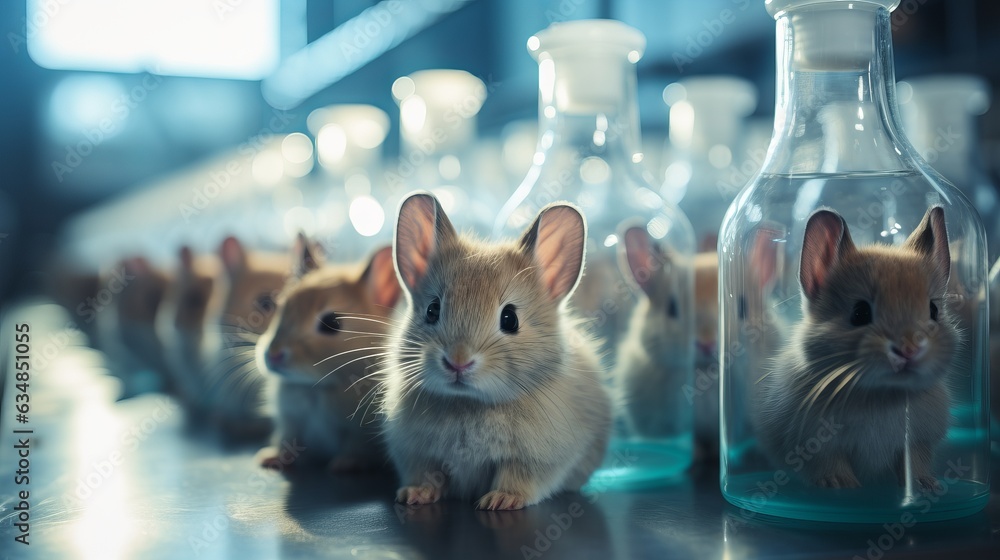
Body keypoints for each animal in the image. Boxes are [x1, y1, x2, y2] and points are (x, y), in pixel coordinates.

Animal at [256, 235, 401, 472]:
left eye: (332, 323)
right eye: (282, 309)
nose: (274, 355)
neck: (319, 386)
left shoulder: (359, 433)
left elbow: (356, 447)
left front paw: (346, 464)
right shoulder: (290, 423)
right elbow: (287, 441)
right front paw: (272, 458)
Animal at [381, 192, 612, 510]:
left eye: (510, 319)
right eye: (432, 310)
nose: (458, 362)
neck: (470, 403)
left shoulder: (533, 461)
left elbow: (516, 478)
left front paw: (501, 500)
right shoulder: (419, 455)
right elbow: (429, 475)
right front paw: (415, 495)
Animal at [753, 206, 959, 490]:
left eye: (933, 310)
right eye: (859, 313)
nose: (908, 350)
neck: (881, 395)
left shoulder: (918, 443)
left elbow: (914, 462)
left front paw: (924, 485)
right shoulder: (816, 445)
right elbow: (829, 461)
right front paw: (840, 484)